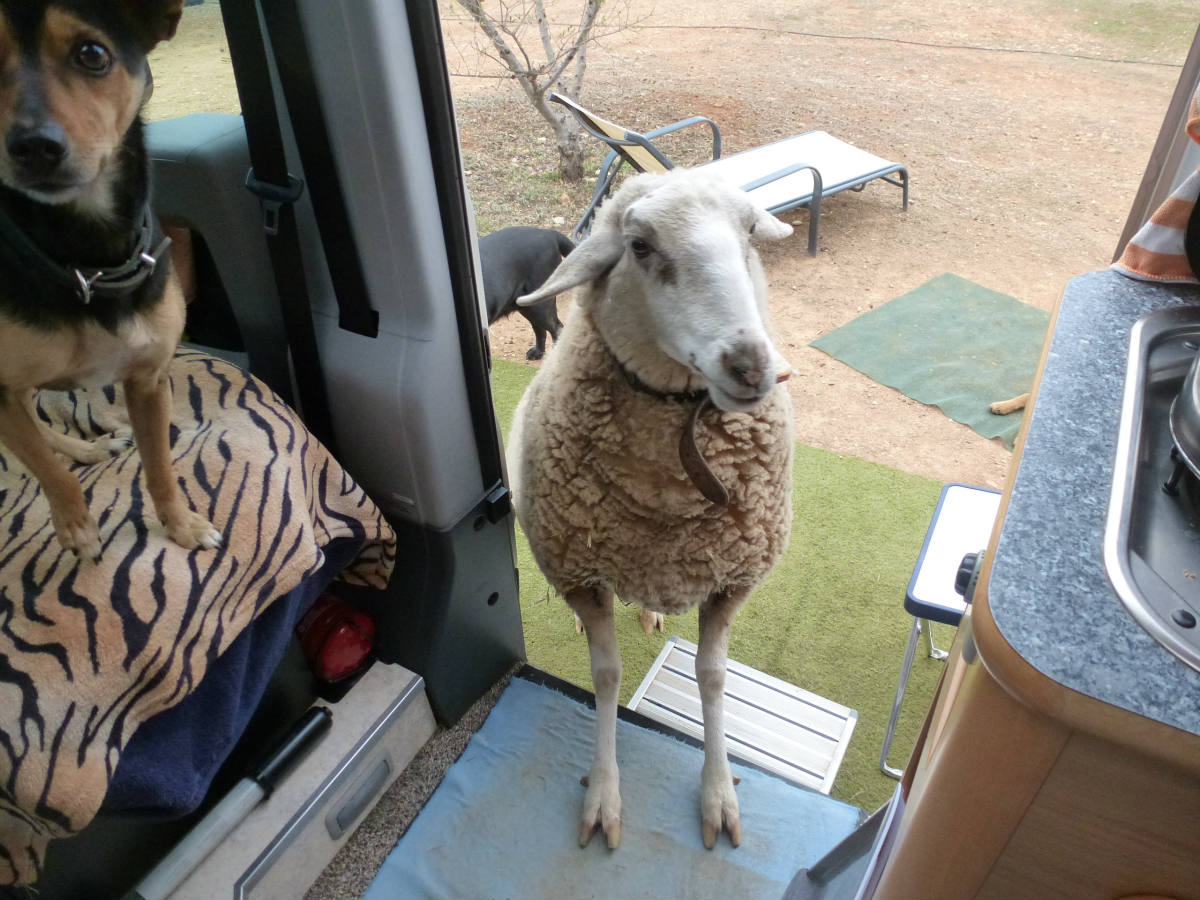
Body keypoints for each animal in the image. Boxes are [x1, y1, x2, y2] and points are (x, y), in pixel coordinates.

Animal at [508, 168, 796, 851]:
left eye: (751, 232)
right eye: (639, 246)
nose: (751, 365)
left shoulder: (732, 580)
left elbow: (713, 677)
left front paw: (718, 794)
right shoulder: (579, 571)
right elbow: (606, 677)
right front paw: (604, 793)